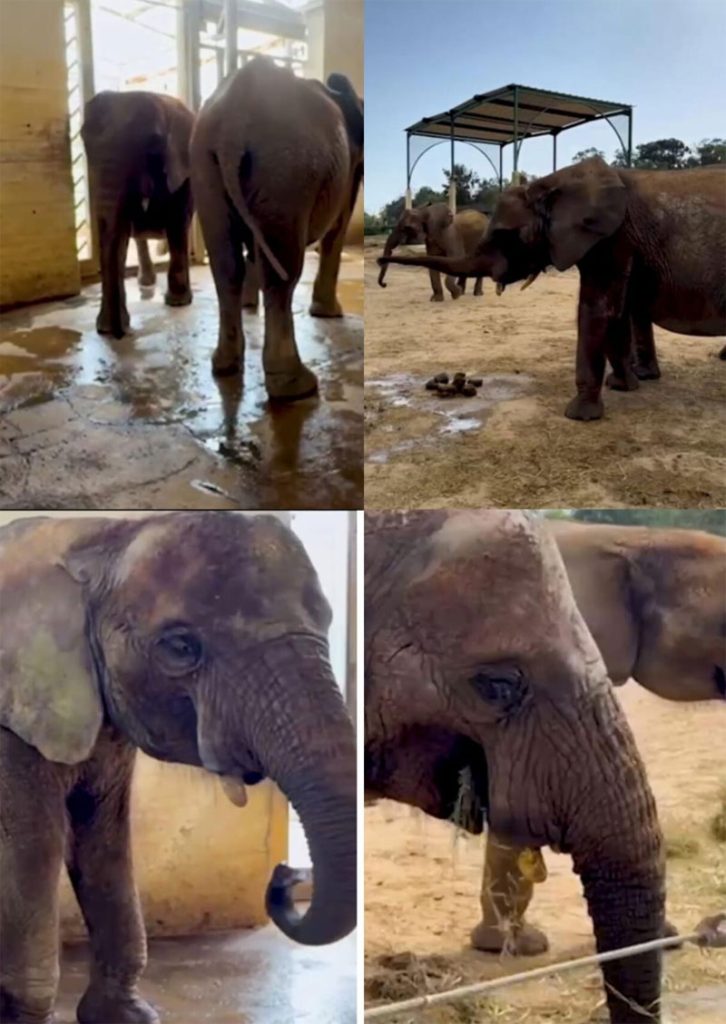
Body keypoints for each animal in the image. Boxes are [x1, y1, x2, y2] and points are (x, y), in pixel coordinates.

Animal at [0, 512, 356, 1024]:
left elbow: (102, 836)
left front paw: (125, 1016)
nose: (286, 875)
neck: (96, 540)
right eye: (181, 647)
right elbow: (31, 846)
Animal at [81, 91, 195, 339]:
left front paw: (177, 303)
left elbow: (177, 224)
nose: (118, 335)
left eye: (153, 144)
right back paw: (146, 283)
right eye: (84, 142)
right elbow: (120, 234)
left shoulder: (183, 172)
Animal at [190, 56, 363, 399]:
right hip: (287, 170)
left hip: (209, 167)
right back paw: (297, 388)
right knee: (283, 272)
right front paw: (329, 314)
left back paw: (225, 366)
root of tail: (232, 121)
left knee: (226, 264)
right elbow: (337, 227)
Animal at [378, 157, 726, 419]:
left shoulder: (613, 238)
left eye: (505, 236)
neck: (551, 183)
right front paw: (622, 386)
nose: (381, 260)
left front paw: (579, 416)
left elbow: (597, 308)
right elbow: (616, 311)